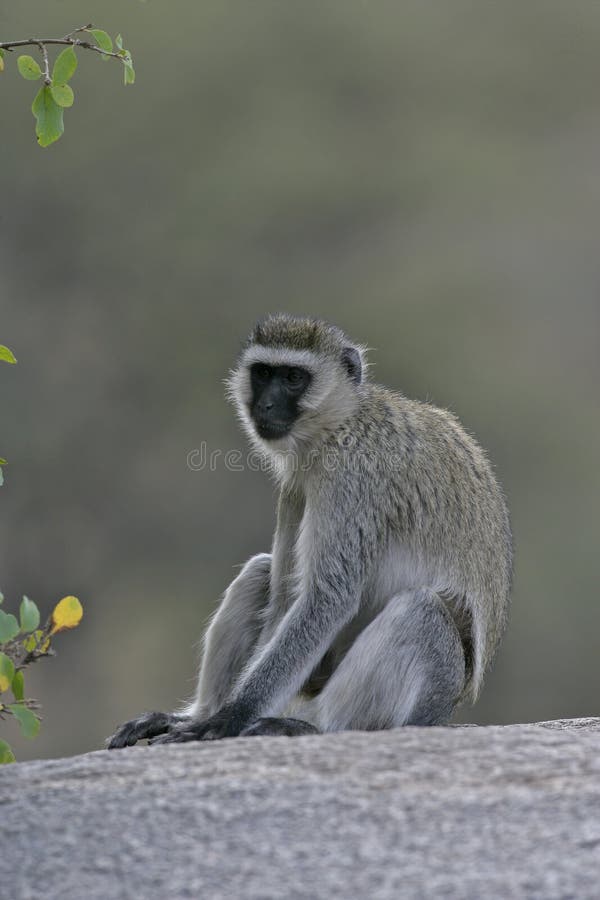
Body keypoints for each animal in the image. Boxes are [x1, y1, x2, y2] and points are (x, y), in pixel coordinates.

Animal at [108, 313, 512, 747]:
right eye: (263, 373)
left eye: (293, 378)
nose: (264, 404)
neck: (339, 424)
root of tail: (447, 710)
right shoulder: (294, 487)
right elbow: (286, 596)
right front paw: (215, 715)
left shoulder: (352, 474)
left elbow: (328, 597)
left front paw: (231, 716)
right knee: (261, 572)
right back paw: (198, 712)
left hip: (425, 698)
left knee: (421, 612)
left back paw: (311, 724)